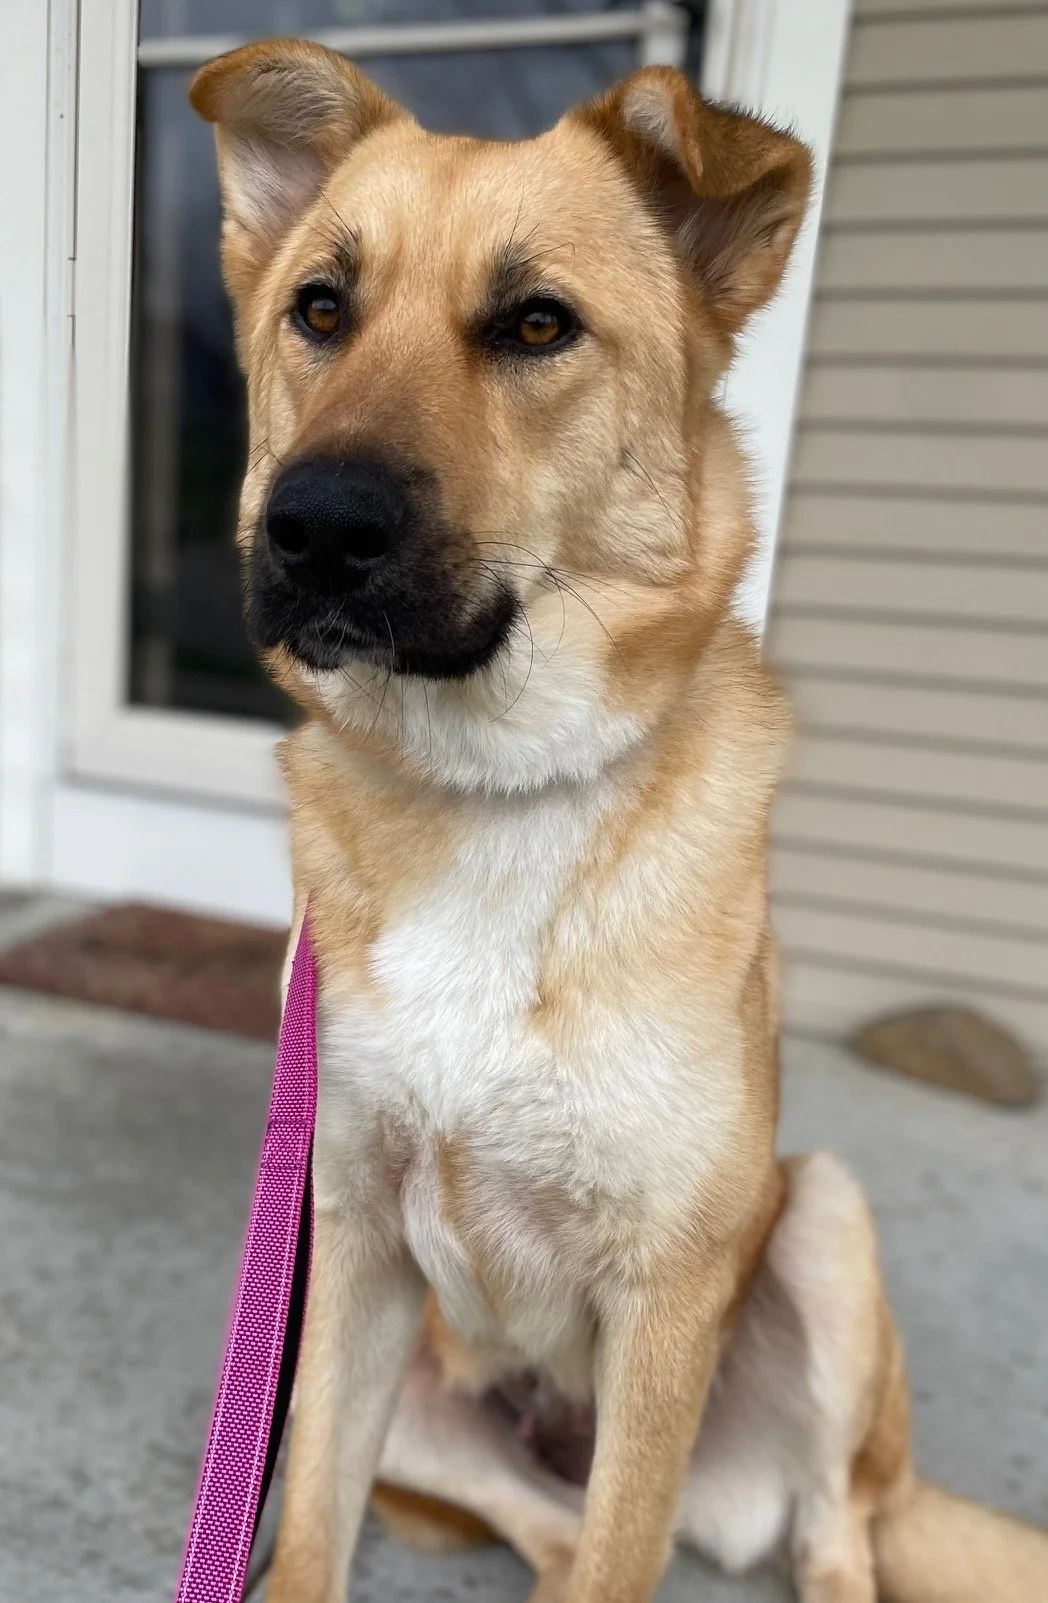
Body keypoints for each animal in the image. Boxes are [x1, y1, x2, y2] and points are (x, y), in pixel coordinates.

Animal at [191, 41, 1048, 1603]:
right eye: (320, 309)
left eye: (539, 324)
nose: (313, 526)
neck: (491, 789)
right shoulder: (347, 1253)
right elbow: (308, 1548)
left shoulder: (663, 1303)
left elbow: (619, 1556)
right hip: (408, 1399)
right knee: (543, 1531)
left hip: (821, 1226)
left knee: (829, 1526)